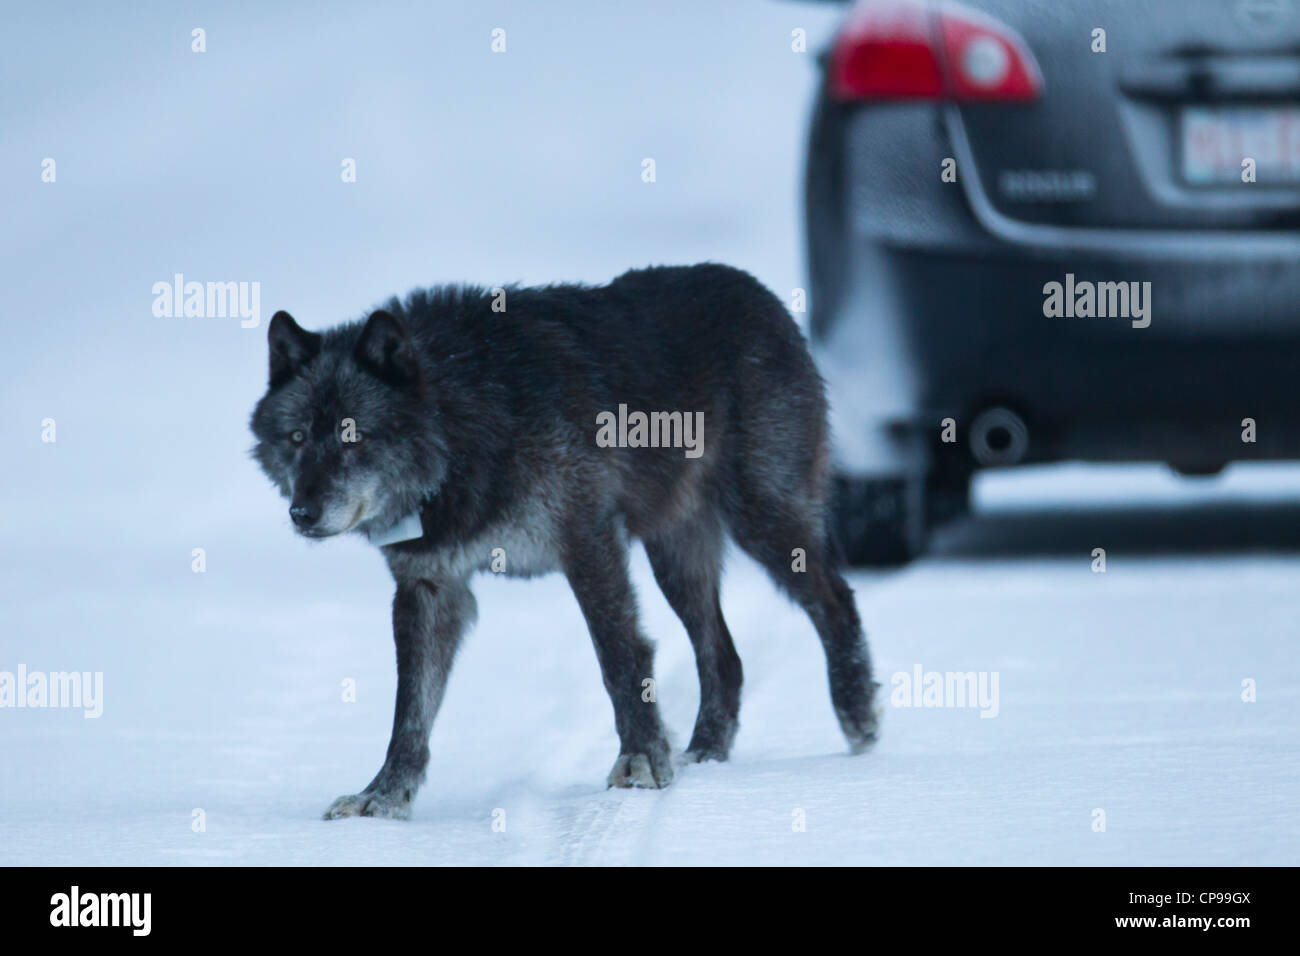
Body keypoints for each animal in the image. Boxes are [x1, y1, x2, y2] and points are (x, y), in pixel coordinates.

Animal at [249, 263, 879, 820]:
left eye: (353, 436)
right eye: (297, 438)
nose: (302, 513)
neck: (469, 417)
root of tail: (763, 297)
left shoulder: (588, 544)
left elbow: (620, 658)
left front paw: (641, 763)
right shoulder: (429, 587)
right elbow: (410, 708)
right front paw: (382, 799)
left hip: (763, 522)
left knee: (836, 600)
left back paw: (859, 722)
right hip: (675, 559)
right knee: (723, 657)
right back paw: (705, 756)